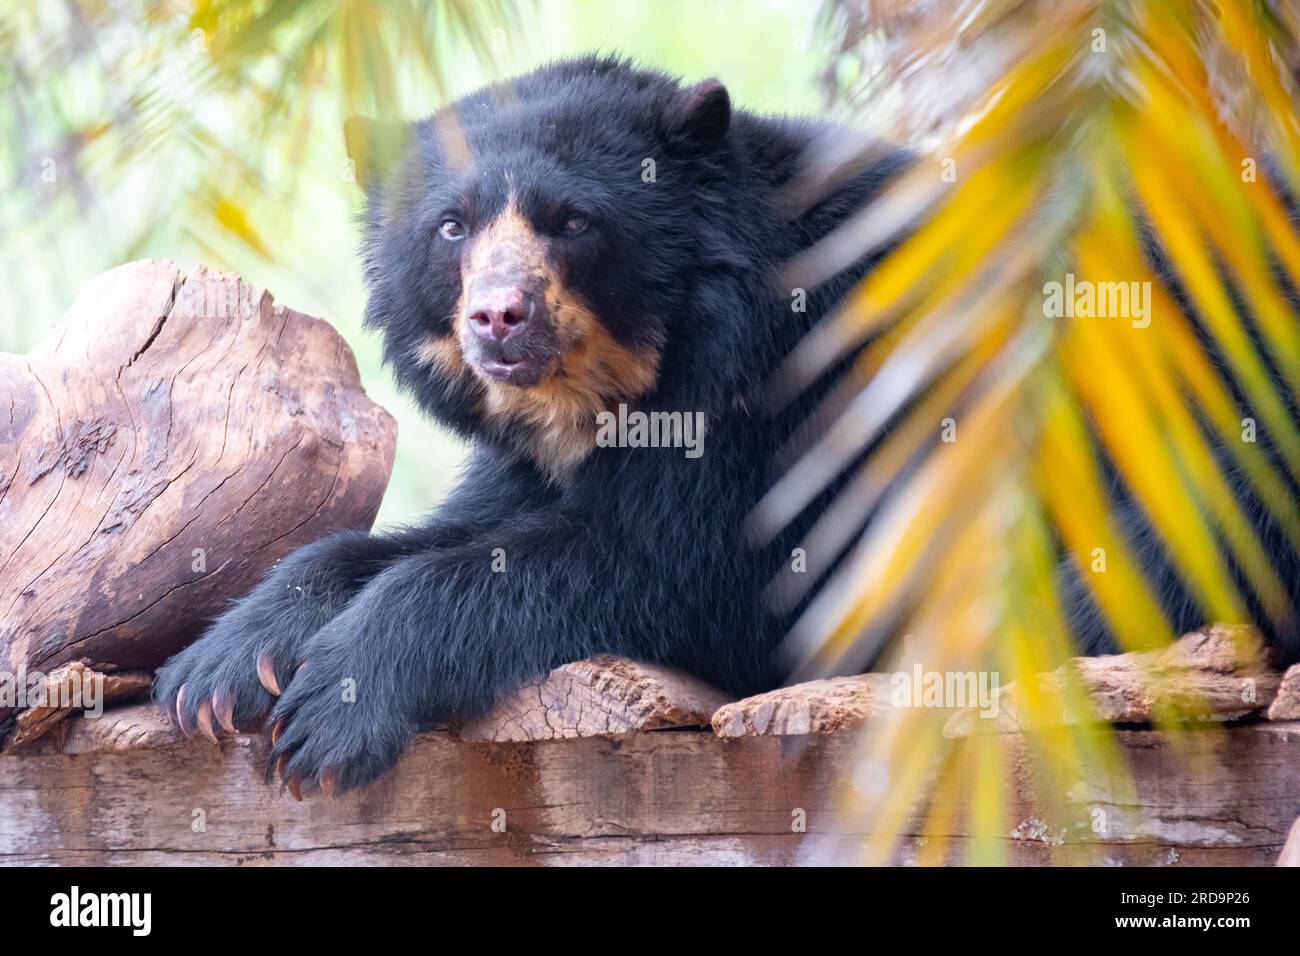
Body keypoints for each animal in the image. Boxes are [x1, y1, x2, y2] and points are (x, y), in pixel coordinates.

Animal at [155, 56, 1300, 797]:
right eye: (451, 228)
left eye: (572, 222)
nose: (498, 319)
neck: (636, 372)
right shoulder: (540, 454)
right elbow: (446, 533)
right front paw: (217, 672)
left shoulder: (803, 397)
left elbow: (677, 568)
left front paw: (329, 708)